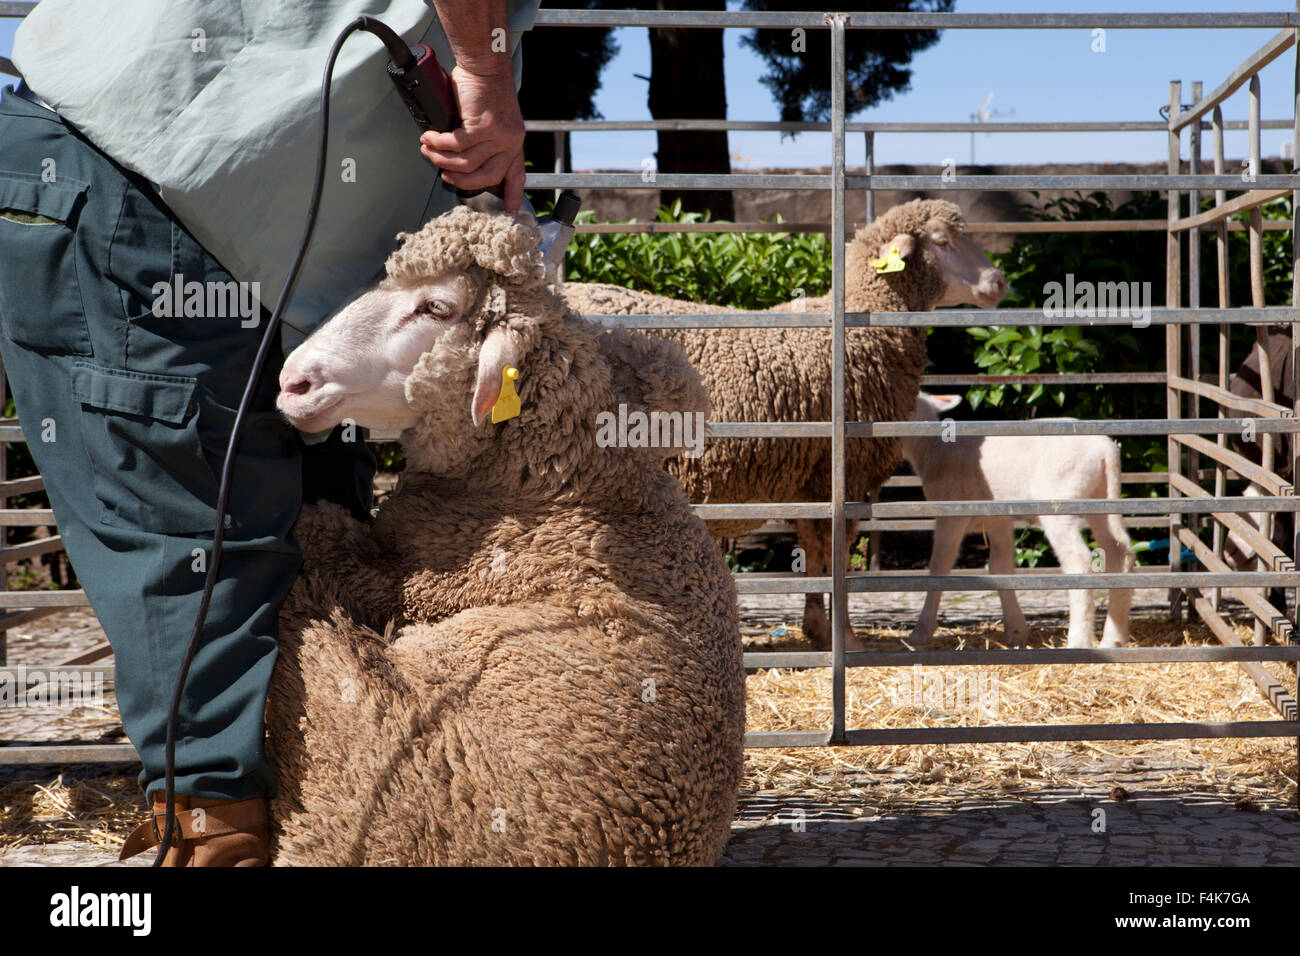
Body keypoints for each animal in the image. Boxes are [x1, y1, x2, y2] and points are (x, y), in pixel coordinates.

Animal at [563, 199, 1007, 650]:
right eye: (942, 240)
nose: (1000, 282)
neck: (865, 328)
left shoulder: (812, 479)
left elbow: (811, 549)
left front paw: (817, 628)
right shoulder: (843, 471)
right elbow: (835, 552)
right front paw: (845, 638)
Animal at [901, 392, 1135, 649]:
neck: (931, 448)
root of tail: (1104, 450)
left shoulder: (951, 512)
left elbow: (939, 566)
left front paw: (921, 633)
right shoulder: (997, 520)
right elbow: (1000, 567)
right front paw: (1015, 631)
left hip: (1061, 500)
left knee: (1079, 560)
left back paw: (1078, 640)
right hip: (1102, 496)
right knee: (1120, 552)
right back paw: (1114, 639)